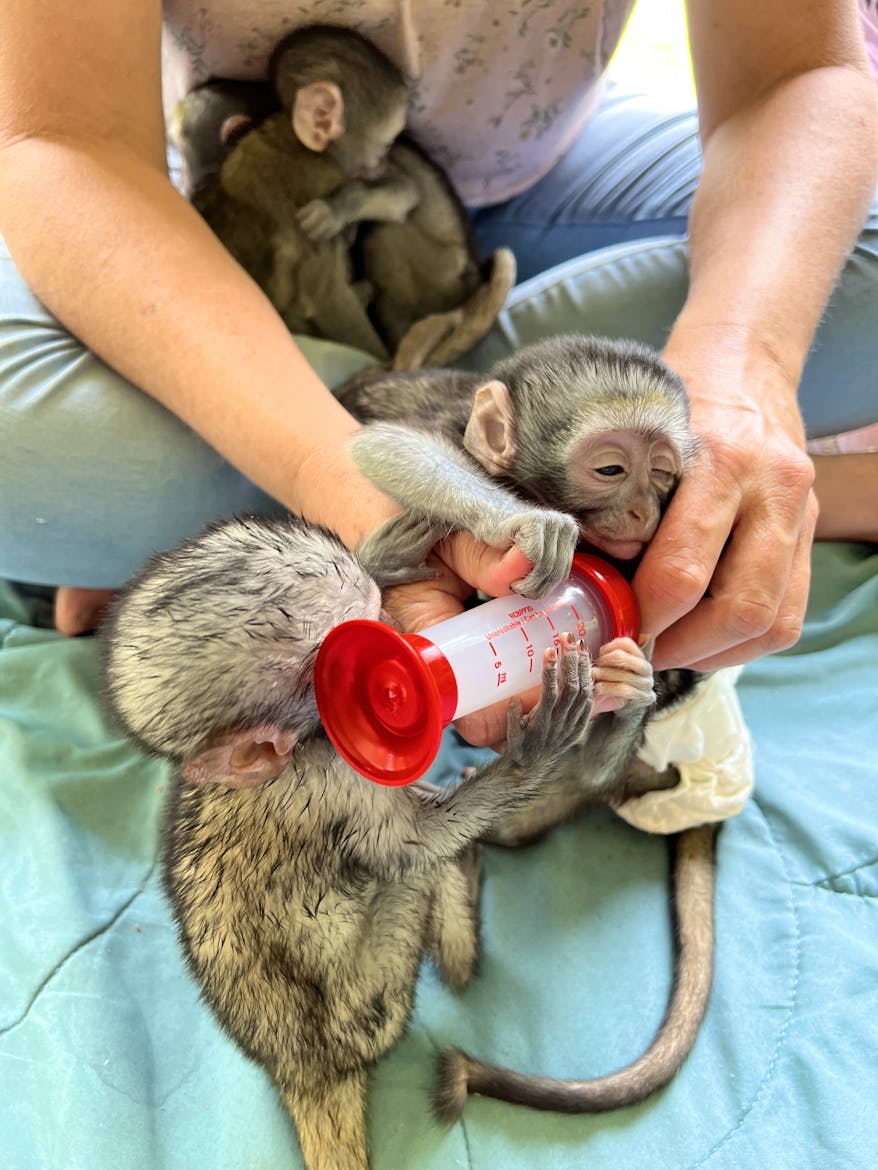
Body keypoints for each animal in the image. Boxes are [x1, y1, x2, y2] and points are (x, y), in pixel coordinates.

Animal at [101, 509, 623, 1170]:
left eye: (373, 619)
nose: (399, 637)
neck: (295, 752)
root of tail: (304, 1067)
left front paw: (381, 556)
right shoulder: (333, 780)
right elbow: (412, 845)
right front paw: (534, 752)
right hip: (377, 996)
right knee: (419, 884)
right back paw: (463, 922)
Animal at [341, 333, 734, 1117]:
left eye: (665, 477)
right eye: (612, 468)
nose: (644, 512)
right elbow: (388, 444)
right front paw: (520, 524)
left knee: (594, 775)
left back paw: (620, 714)